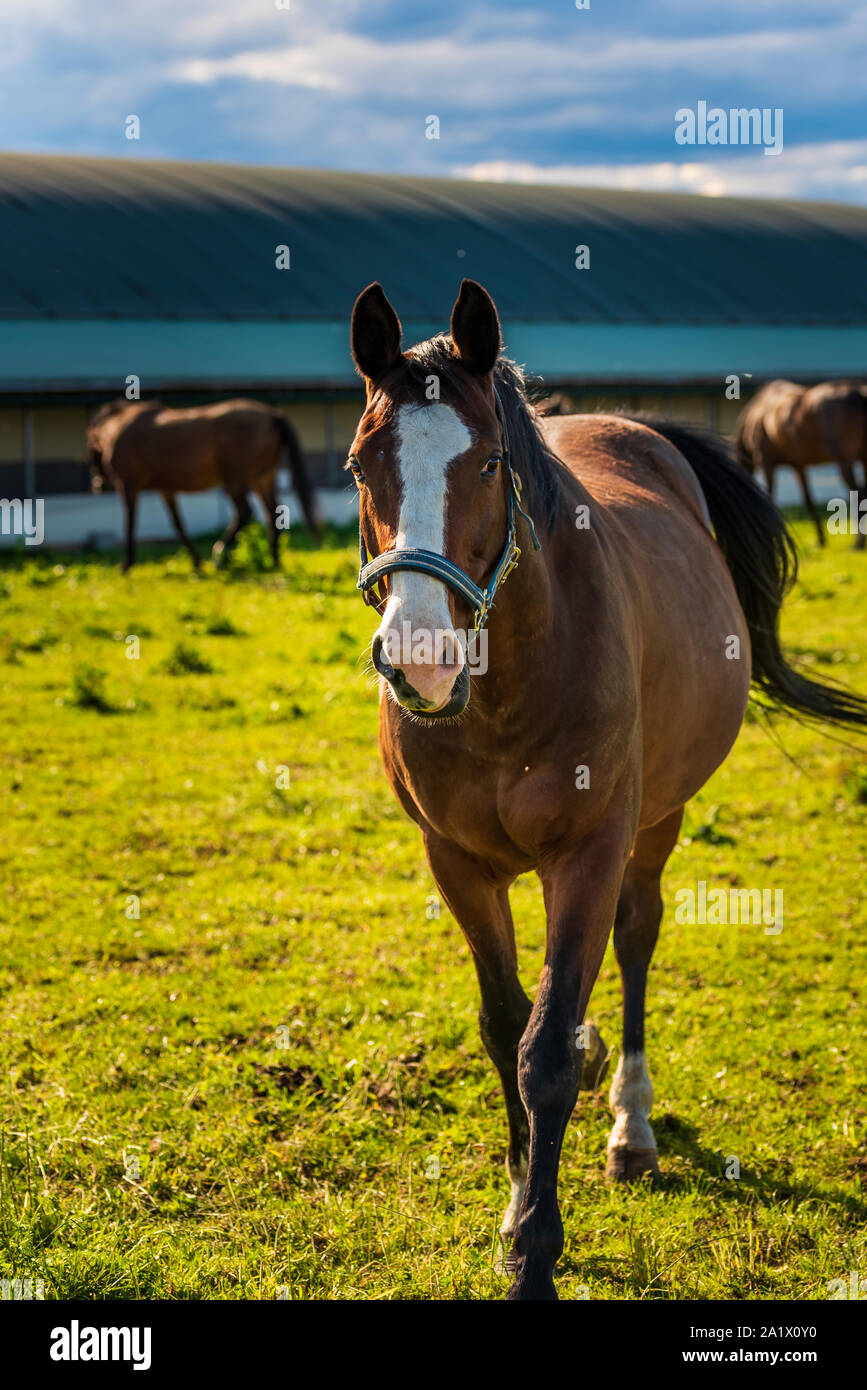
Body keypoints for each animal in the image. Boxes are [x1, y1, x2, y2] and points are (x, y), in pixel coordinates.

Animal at [86, 398, 321, 571]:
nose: (97, 486)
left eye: (90, 448)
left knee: (245, 512)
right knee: (273, 513)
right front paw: (196, 562)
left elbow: (130, 523)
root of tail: (273, 415)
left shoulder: (128, 483)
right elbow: (178, 524)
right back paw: (274, 561)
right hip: (262, 478)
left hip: (234, 479)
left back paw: (221, 555)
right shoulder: (166, 487)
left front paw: (126, 564)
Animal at [735, 379, 867, 550]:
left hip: (844, 459)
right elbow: (808, 500)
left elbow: (769, 497)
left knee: (860, 493)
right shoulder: (798, 465)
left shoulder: (766, 461)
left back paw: (859, 542)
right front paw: (820, 539)